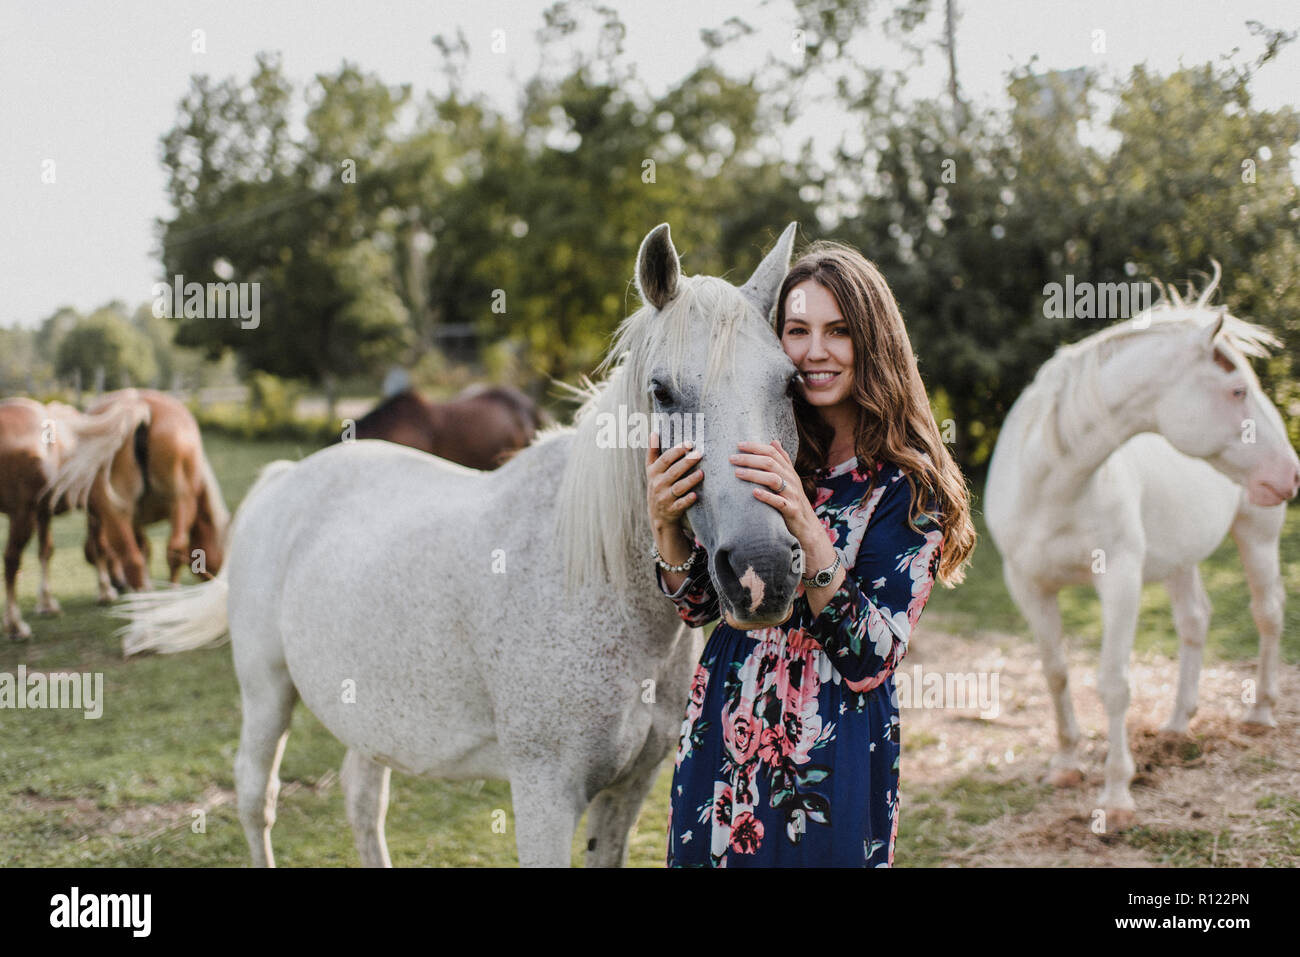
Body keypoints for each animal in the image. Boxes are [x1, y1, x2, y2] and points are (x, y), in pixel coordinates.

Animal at [1, 397, 145, 639]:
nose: (121, 583)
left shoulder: (43, 513)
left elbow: (46, 551)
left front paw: (47, 603)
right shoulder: (94, 511)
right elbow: (99, 547)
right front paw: (105, 591)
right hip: (22, 515)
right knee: (11, 561)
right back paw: (15, 625)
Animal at [49, 389, 229, 599]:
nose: (118, 584)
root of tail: (139, 408)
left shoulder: (127, 519)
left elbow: (137, 549)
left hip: (122, 512)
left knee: (138, 557)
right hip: (179, 502)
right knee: (168, 551)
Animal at [984, 266, 1300, 830]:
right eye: (1237, 390)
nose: (1290, 473)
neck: (1053, 485)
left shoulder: (1120, 579)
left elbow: (1113, 683)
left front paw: (1116, 796)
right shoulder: (1027, 585)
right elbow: (1055, 673)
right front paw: (1066, 764)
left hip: (1257, 538)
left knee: (1267, 613)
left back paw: (1260, 712)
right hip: (1179, 559)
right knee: (1195, 621)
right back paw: (1177, 725)